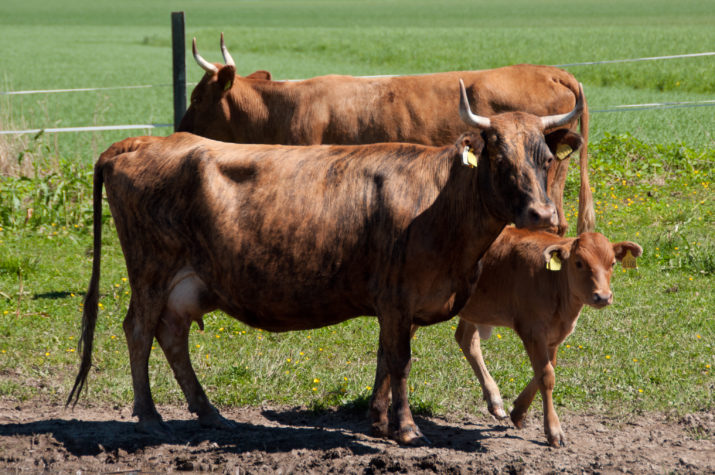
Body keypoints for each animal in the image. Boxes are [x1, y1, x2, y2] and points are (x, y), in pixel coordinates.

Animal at [67, 82, 584, 445]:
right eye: (499, 156)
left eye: (543, 157)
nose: (542, 215)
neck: (440, 204)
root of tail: (136, 143)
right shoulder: (397, 296)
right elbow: (400, 361)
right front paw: (406, 429)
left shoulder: (397, 304)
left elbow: (384, 360)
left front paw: (377, 421)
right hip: (150, 271)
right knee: (138, 331)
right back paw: (150, 416)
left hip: (184, 283)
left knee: (172, 337)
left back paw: (209, 413)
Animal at [451, 227, 642, 447]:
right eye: (579, 263)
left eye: (612, 263)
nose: (602, 296)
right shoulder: (532, 330)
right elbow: (546, 375)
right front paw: (553, 430)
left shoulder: (554, 334)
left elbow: (548, 367)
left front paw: (519, 411)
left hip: (475, 309)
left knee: (466, 340)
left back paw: (495, 400)